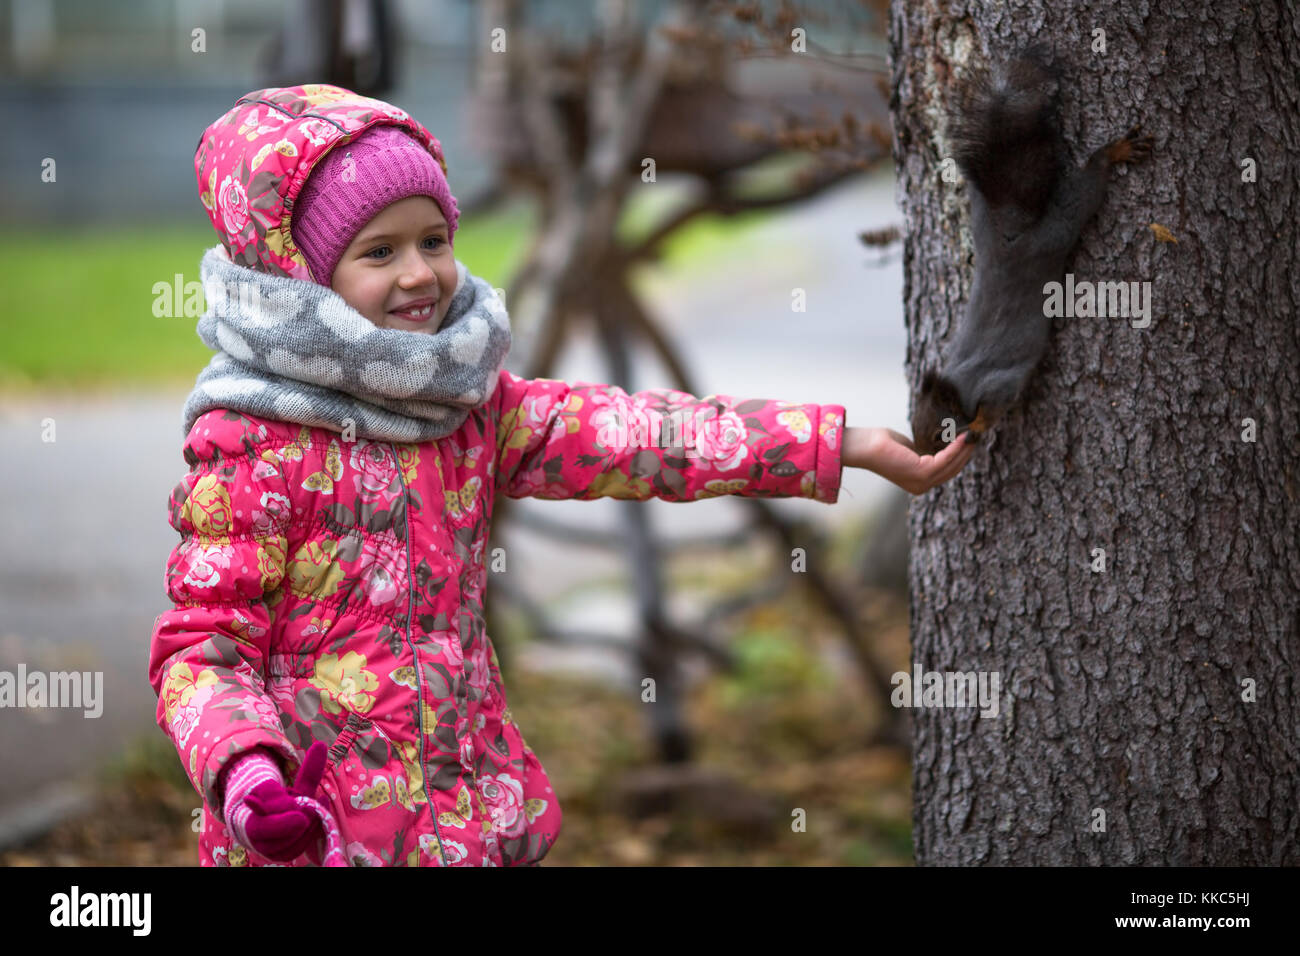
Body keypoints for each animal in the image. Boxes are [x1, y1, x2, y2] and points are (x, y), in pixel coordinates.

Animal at [909, 45, 1154, 456]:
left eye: (939, 435)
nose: (924, 457)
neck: (957, 386)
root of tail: (1009, 227)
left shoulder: (997, 383)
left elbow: (995, 405)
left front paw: (979, 427)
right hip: (983, 218)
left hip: (1053, 233)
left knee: (1083, 195)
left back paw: (1112, 154)